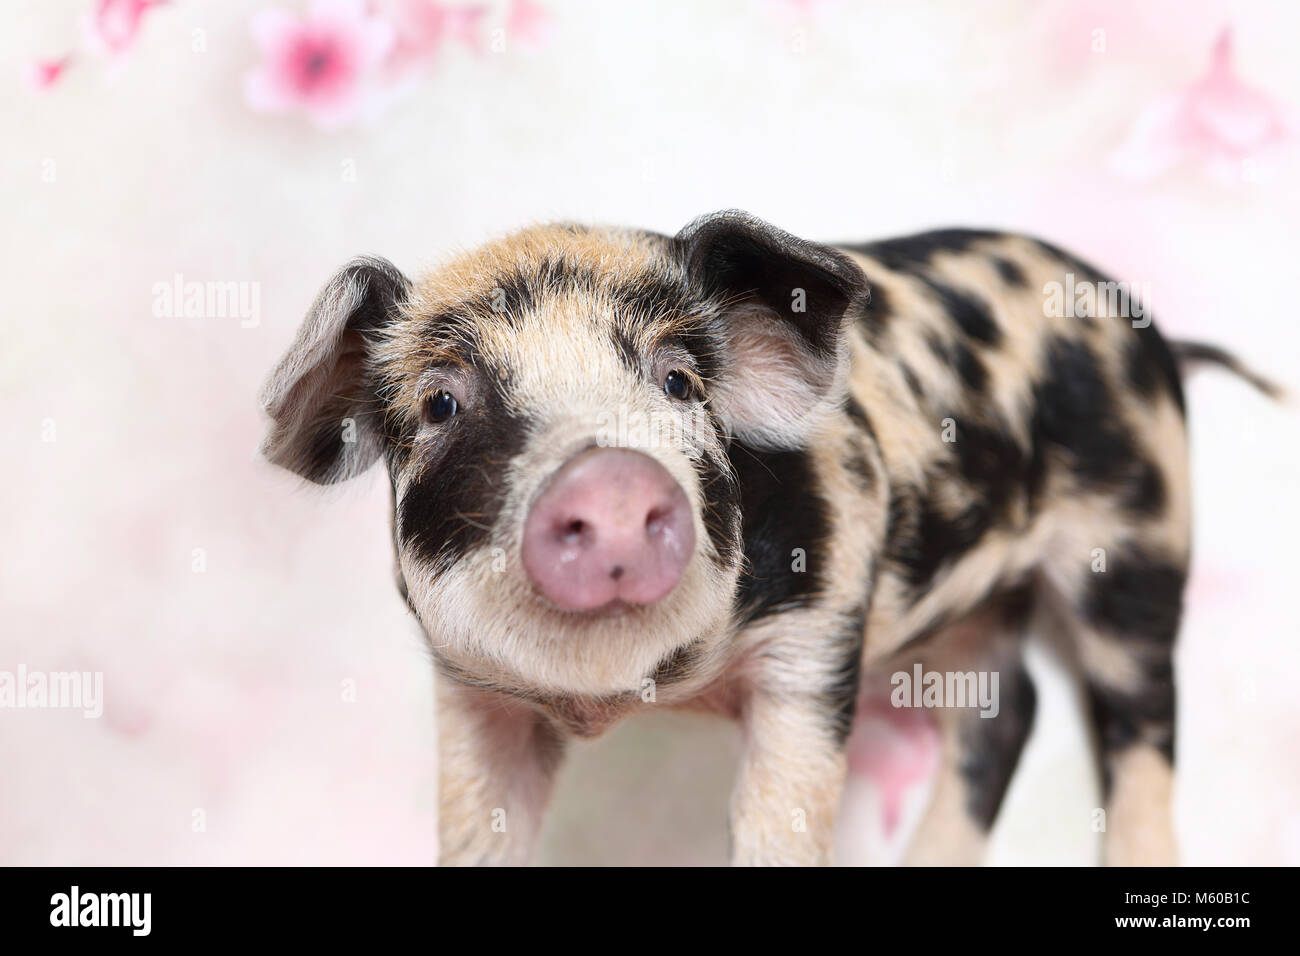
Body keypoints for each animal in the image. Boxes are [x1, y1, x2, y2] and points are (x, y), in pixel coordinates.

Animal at [259, 211, 1275, 866]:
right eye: (440, 403)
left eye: (679, 382)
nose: (612, 477)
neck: (641, 693)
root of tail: (1157, 341)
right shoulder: (472, 693)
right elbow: (478, 828)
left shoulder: (818, 639)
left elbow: (781, 817)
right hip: (969, 606)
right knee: (1006, 708)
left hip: (1139, 543)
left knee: (1140, 726)